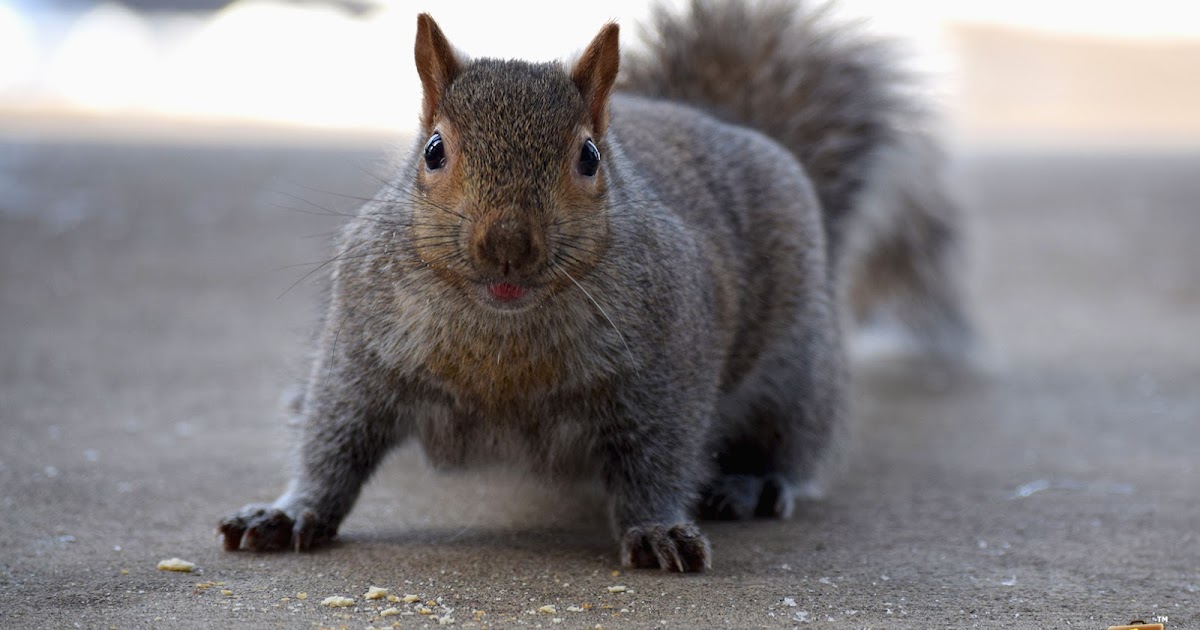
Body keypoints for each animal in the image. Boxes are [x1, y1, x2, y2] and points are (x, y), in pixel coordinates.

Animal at [219, 0, 971, 572]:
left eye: (588, 158)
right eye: (433, 151)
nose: (508, 246)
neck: (500, 336)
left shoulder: (665, 368)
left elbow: (659, 459)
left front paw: (658, 529)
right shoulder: (362, 351)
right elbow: (334, 442)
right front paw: (289, 512)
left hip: (795, 371)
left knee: (790, 440)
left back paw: (752, 482)